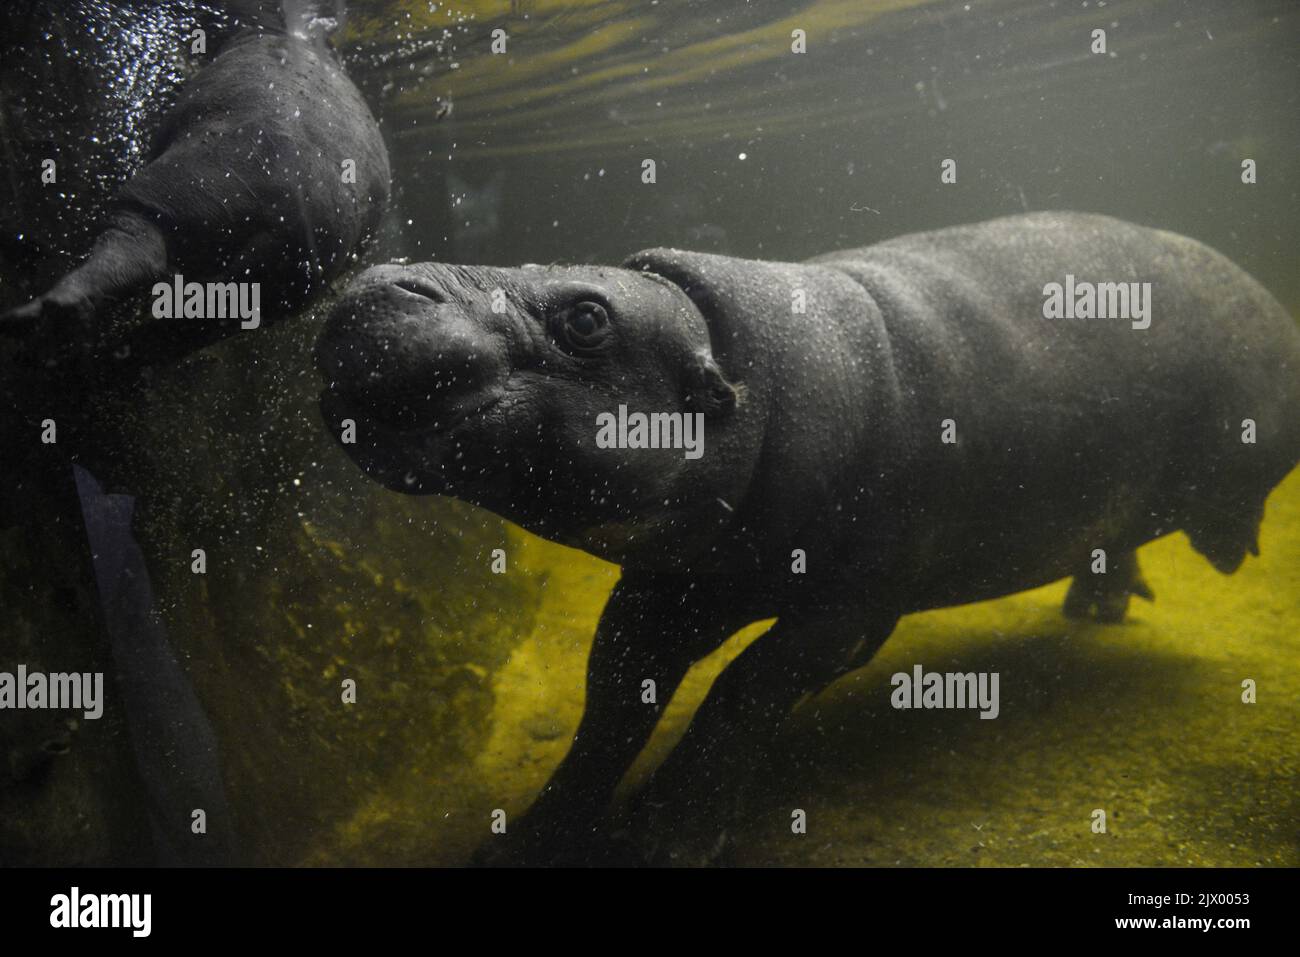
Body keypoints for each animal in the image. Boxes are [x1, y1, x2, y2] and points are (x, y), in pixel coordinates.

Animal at [314, 211, 1300, 865]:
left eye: (587, 317)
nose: (379, 279)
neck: (745, 379)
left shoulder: (849, 606)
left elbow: (745, 688)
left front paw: (665, 833)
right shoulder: (667, 581)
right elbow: (613, 698)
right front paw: (530, 839)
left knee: (1229, 499)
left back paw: (1224, 546)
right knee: (1114, 544)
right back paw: (1100, 606)